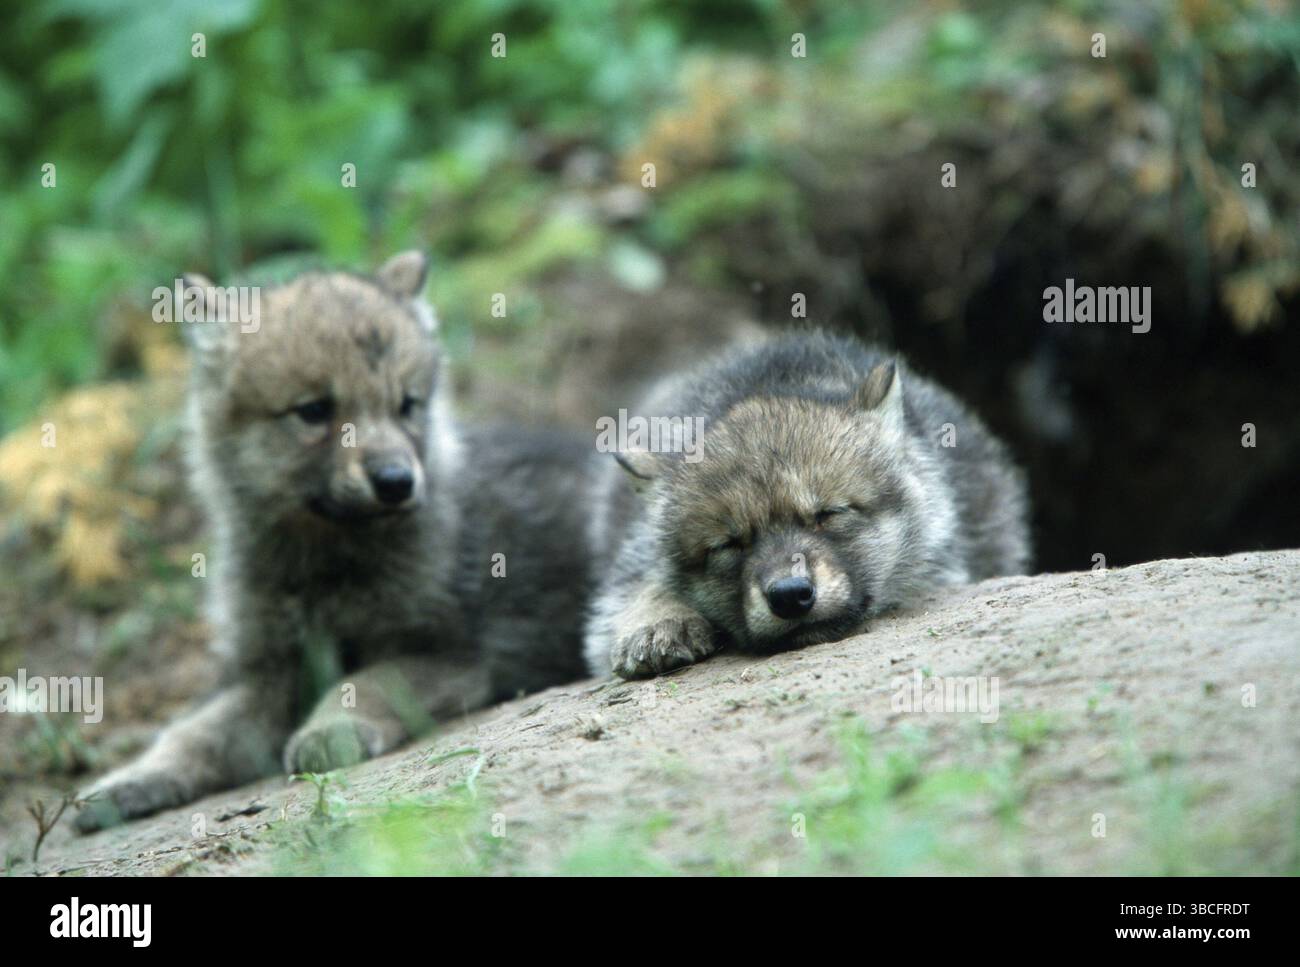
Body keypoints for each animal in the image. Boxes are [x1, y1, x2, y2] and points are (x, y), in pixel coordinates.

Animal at [75, 252, 590, 831]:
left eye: (406, 405)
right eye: (314, 411)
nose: (396, 482)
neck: (323, 560)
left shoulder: (445, 653)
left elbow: (367, 682)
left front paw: (328, 732)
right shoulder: (268, 673)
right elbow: (194, 732)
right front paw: (131, 780)